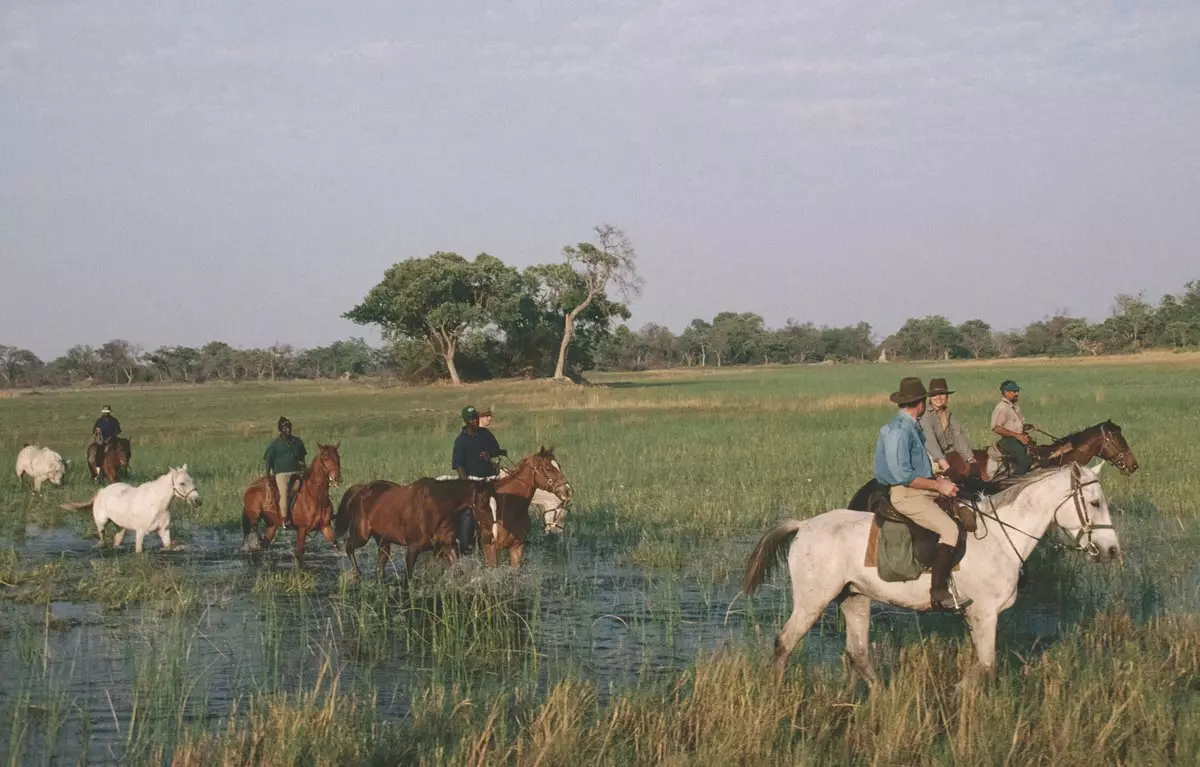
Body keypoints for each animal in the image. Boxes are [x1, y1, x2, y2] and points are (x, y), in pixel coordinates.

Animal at [62, 460, 201, 552]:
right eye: (182, 483)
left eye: (192, 481)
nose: (198, 501)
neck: (157, 505)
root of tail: (101, 492)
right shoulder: (140, 532)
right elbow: (139, 550)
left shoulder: (164, 531)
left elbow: (167, 546)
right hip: (101, 523)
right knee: (102, 538)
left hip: (120, 527)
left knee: (117, 539)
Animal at [333, 477, 492, 578]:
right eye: (483, 503)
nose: (469, 547)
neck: (436, 507)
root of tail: (361, 488)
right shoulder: (413, 548)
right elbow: (407, 579)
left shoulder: (447, 546)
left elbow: (458, 572)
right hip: (362, 535)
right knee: (349, 547)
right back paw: (357, 574)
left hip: (383, 541)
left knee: (380, 566)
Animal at [744, 465, 1118, 686]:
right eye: (1095, 502)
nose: (1113, 550)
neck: (1000, 536)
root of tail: (804, 525)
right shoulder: (984, 614)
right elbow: (986, 665)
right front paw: (960, 693)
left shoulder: (975, 617)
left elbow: (982, 664)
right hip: (812, 602)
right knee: (784, 644)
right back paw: (778, 695)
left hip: (855, 599)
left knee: (859, 653)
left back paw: (882, 697)